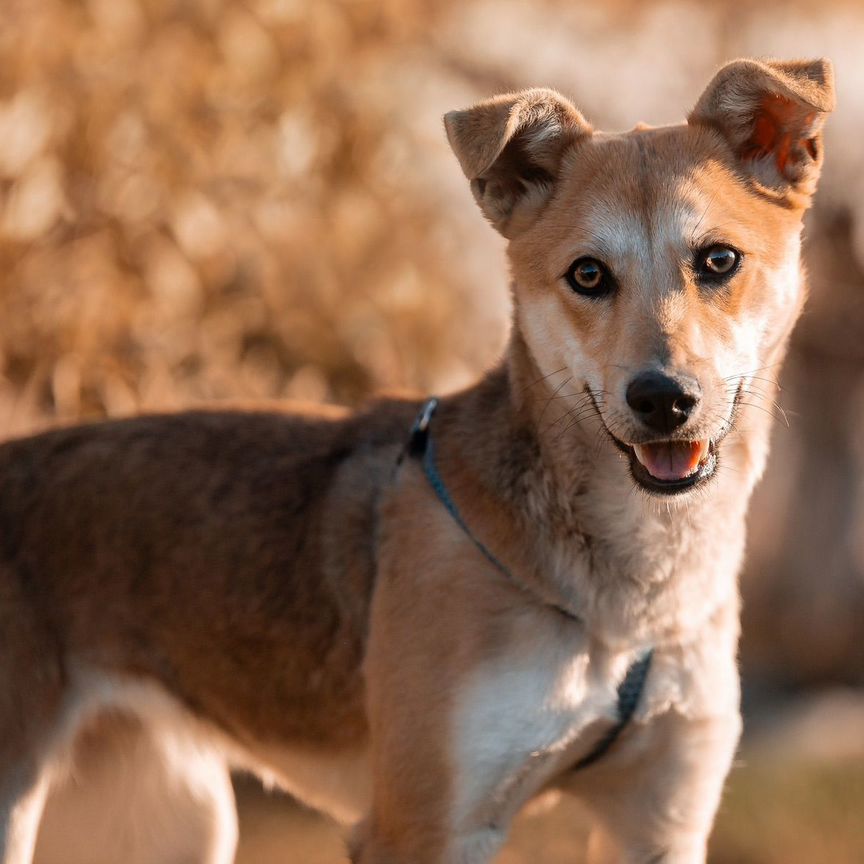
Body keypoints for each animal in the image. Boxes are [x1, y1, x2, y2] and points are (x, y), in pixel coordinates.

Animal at [1, 55, 836, 864]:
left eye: (718, 260)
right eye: (588, 274)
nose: (663, 398)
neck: (633, 597)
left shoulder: (660, 823)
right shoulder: (426, 829)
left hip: (177, 820)